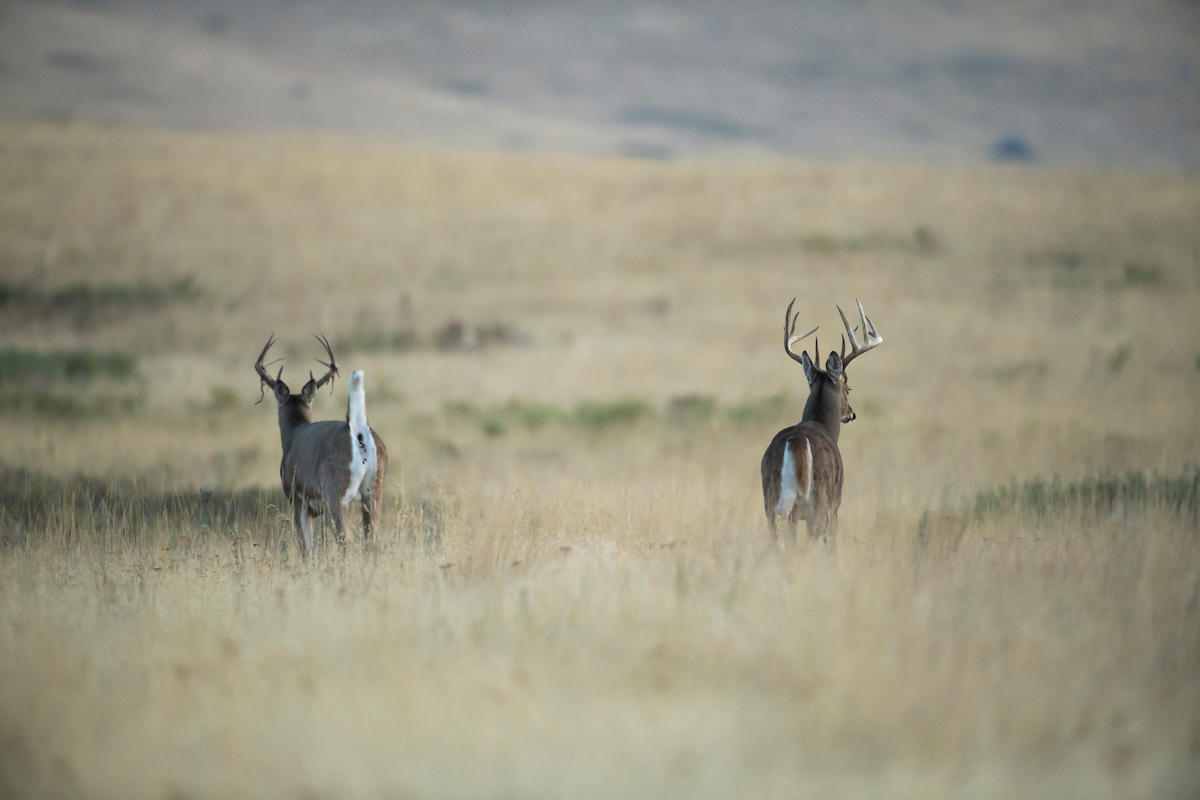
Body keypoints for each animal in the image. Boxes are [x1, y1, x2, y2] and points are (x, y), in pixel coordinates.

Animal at [254, 334, 388, 556]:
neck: (293, 433)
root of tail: (357, 428)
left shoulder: (296, 496)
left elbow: (305, 543)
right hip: (374, 492)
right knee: (372, 539)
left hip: (336, 492)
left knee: (344, 539)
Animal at [761, 298, 882, 546]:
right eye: (848, 388)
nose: (851, 414)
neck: (823, 426)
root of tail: (797, 442)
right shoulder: (835, 506)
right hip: (819, 502)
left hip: (772, 502)